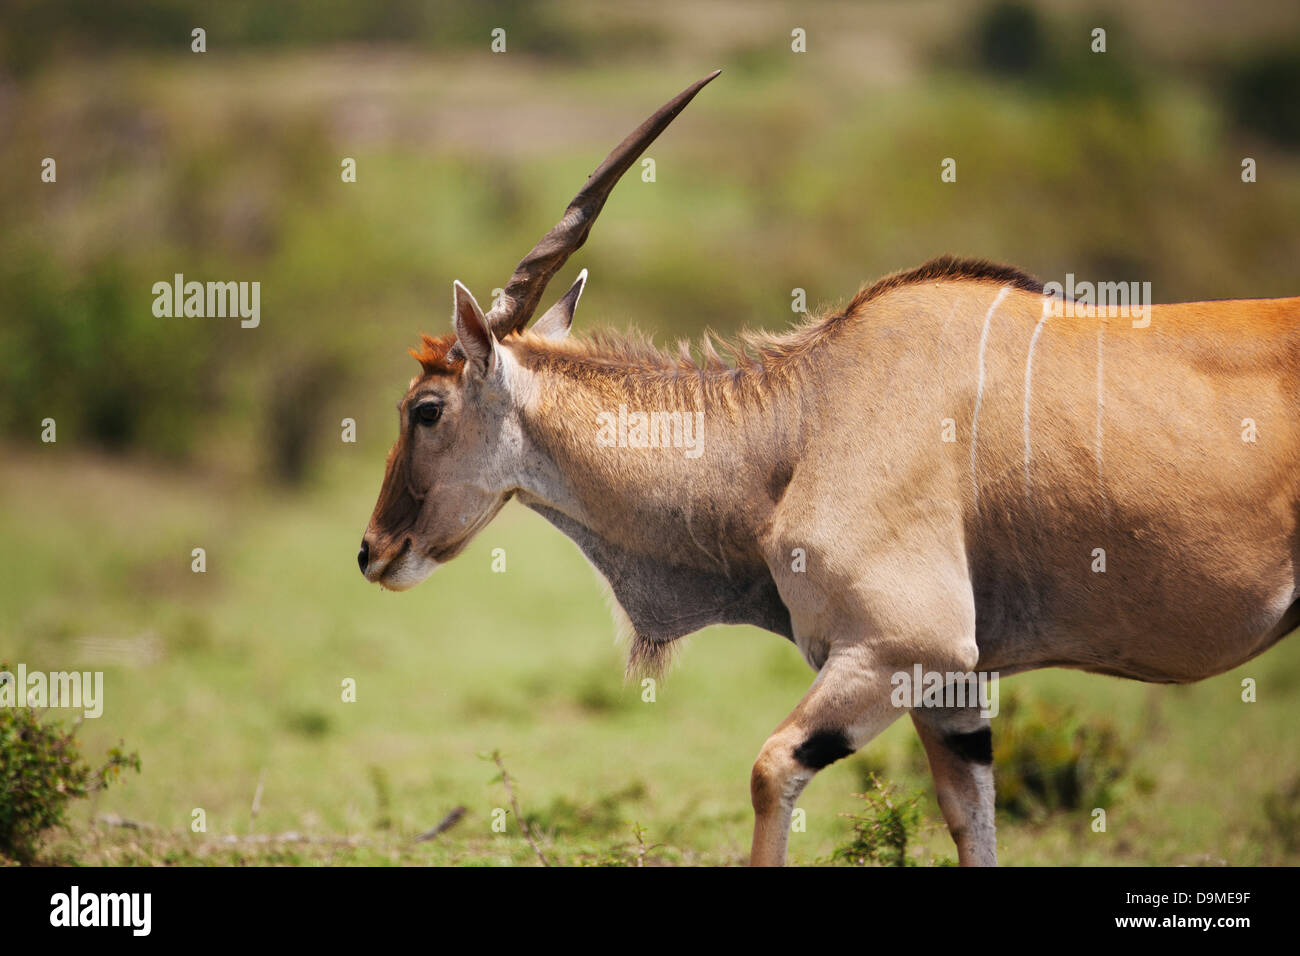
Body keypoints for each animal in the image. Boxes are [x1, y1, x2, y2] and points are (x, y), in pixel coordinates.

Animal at [358, 71, 1300, 866]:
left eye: (426, 409)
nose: (373, 550)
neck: (801, 421)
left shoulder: (898, 647)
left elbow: (772, 769)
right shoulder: (953, 685)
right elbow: (972, 822)